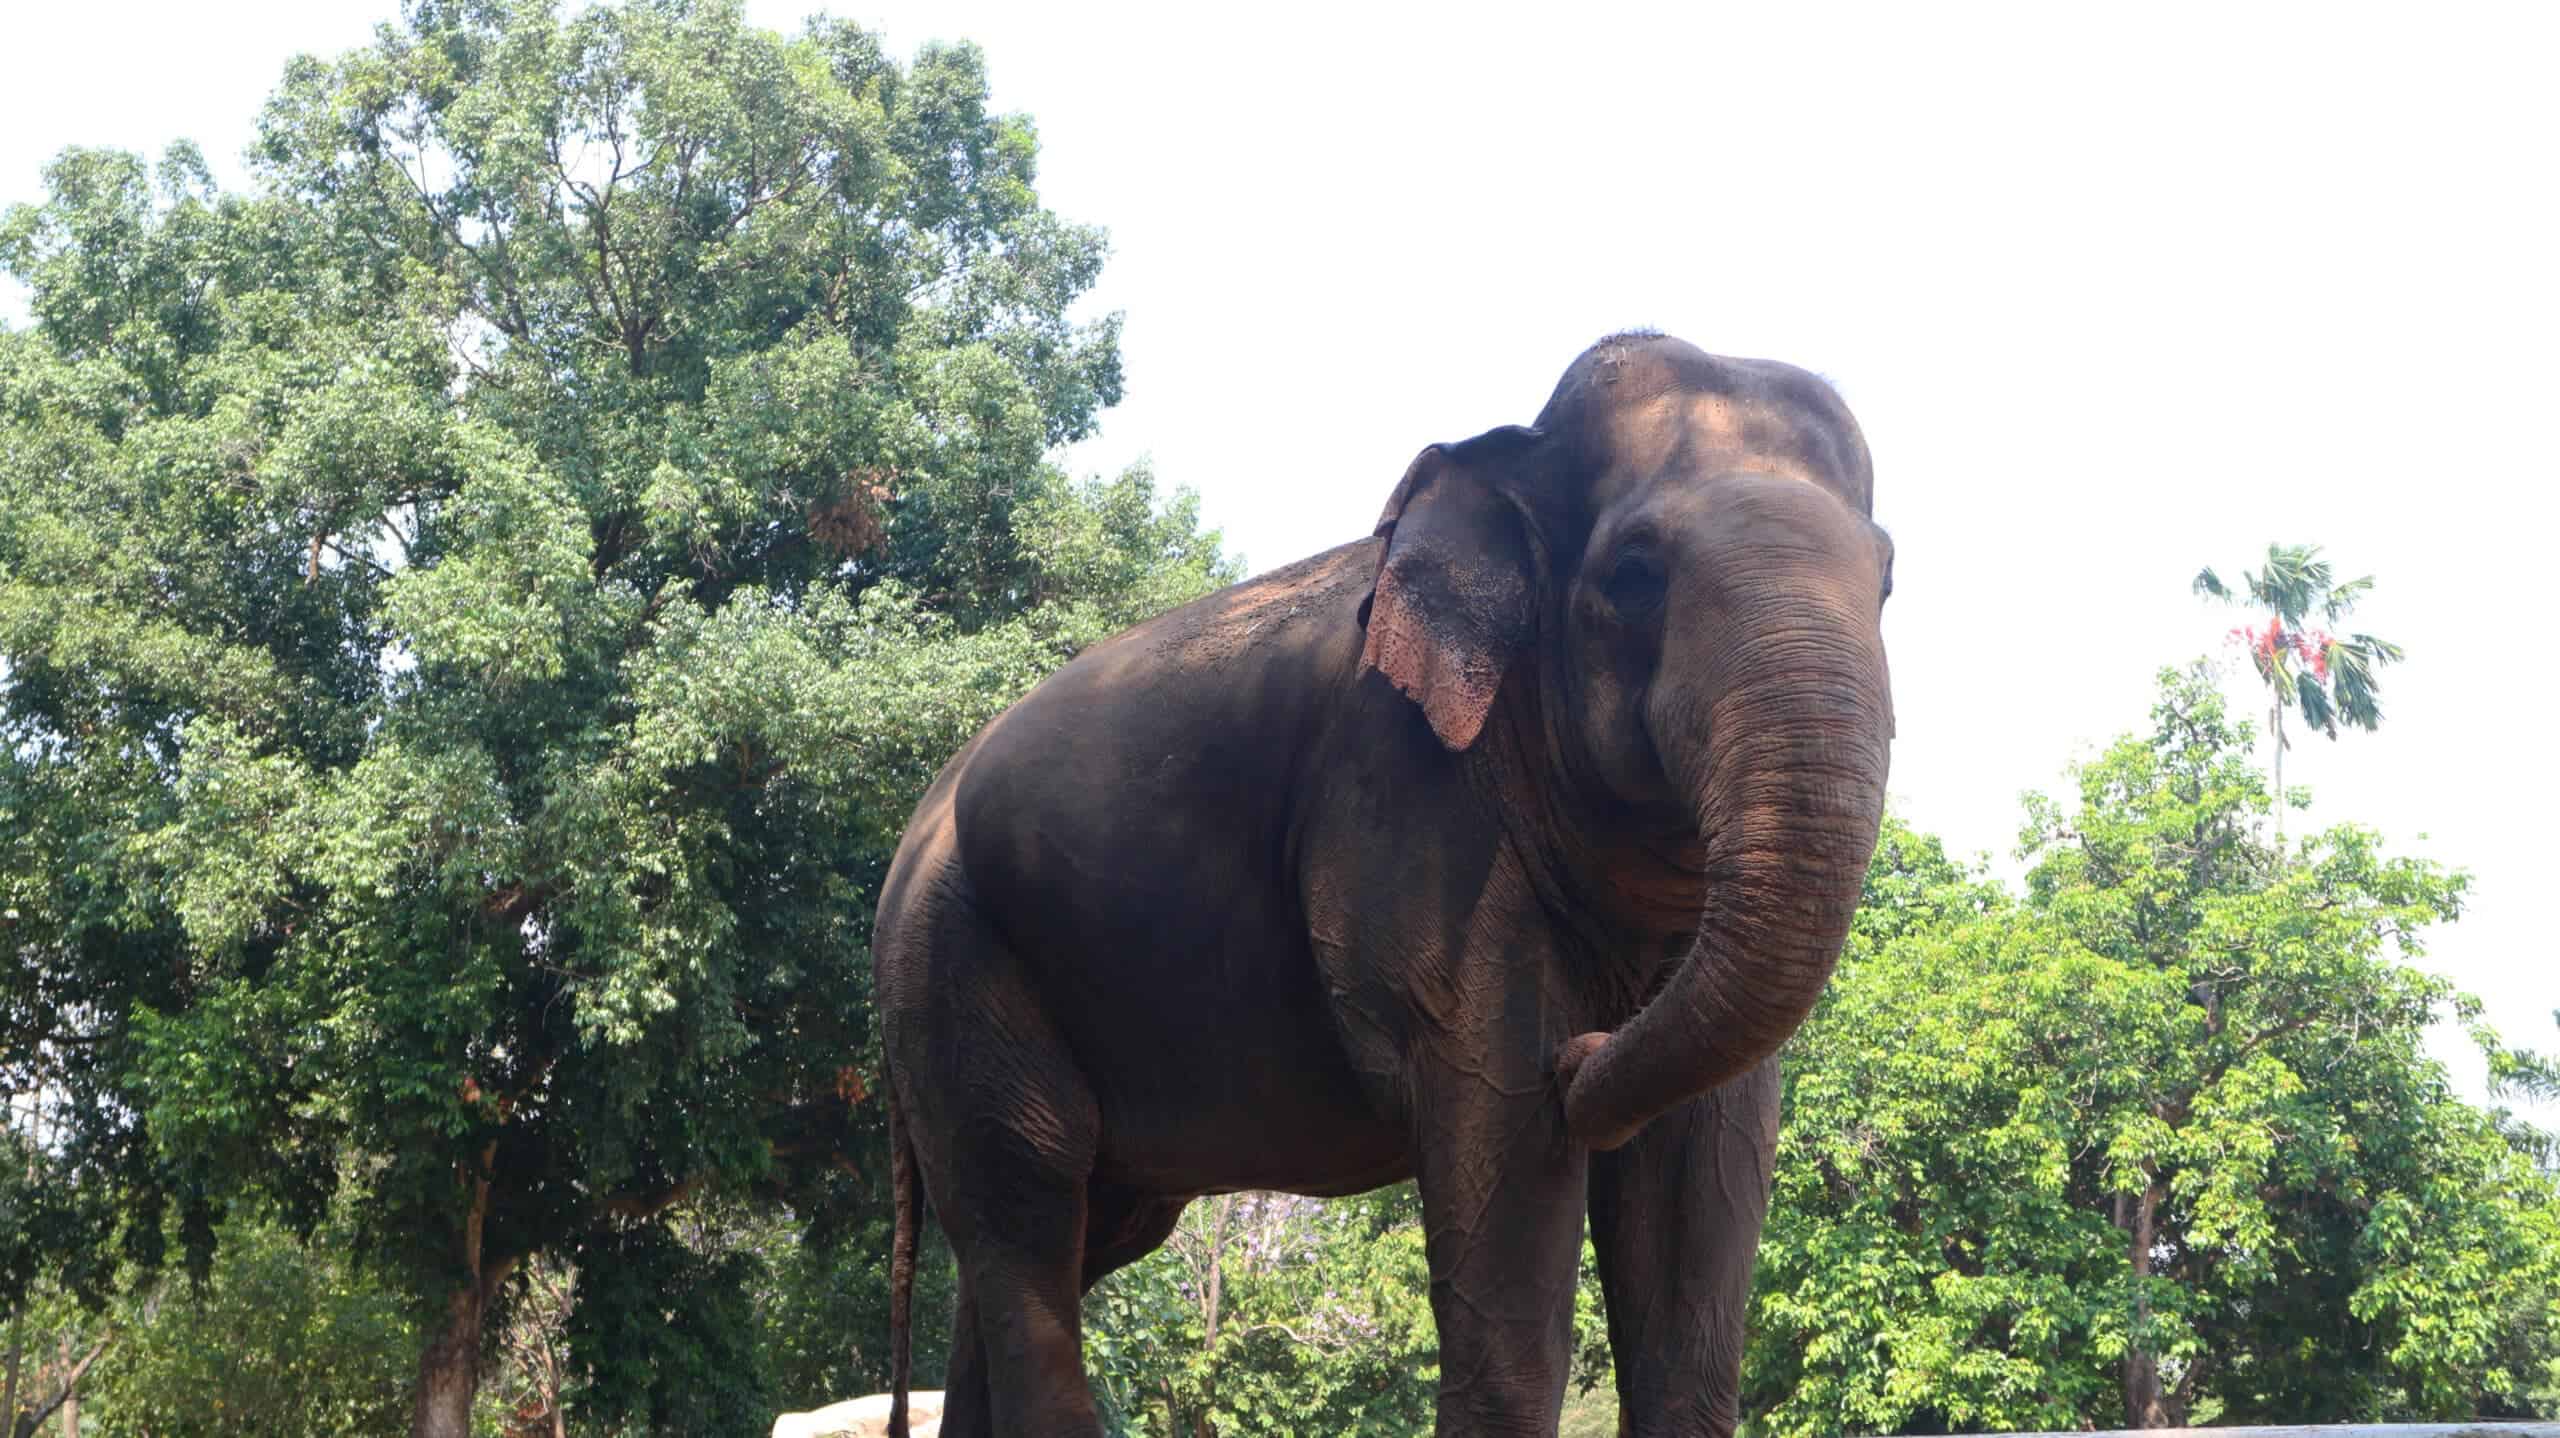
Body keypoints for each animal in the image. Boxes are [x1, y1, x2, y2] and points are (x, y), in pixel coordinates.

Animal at [873, 332, 1895, 1438]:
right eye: (1634, 574)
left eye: (1888, 578)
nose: (1586, 1052)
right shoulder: (1410, 811)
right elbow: (1498, 1130)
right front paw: (1550, 1086)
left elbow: (1699, 1187)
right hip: (950, 964)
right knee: (1029, 1200)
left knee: (1062, 1236)